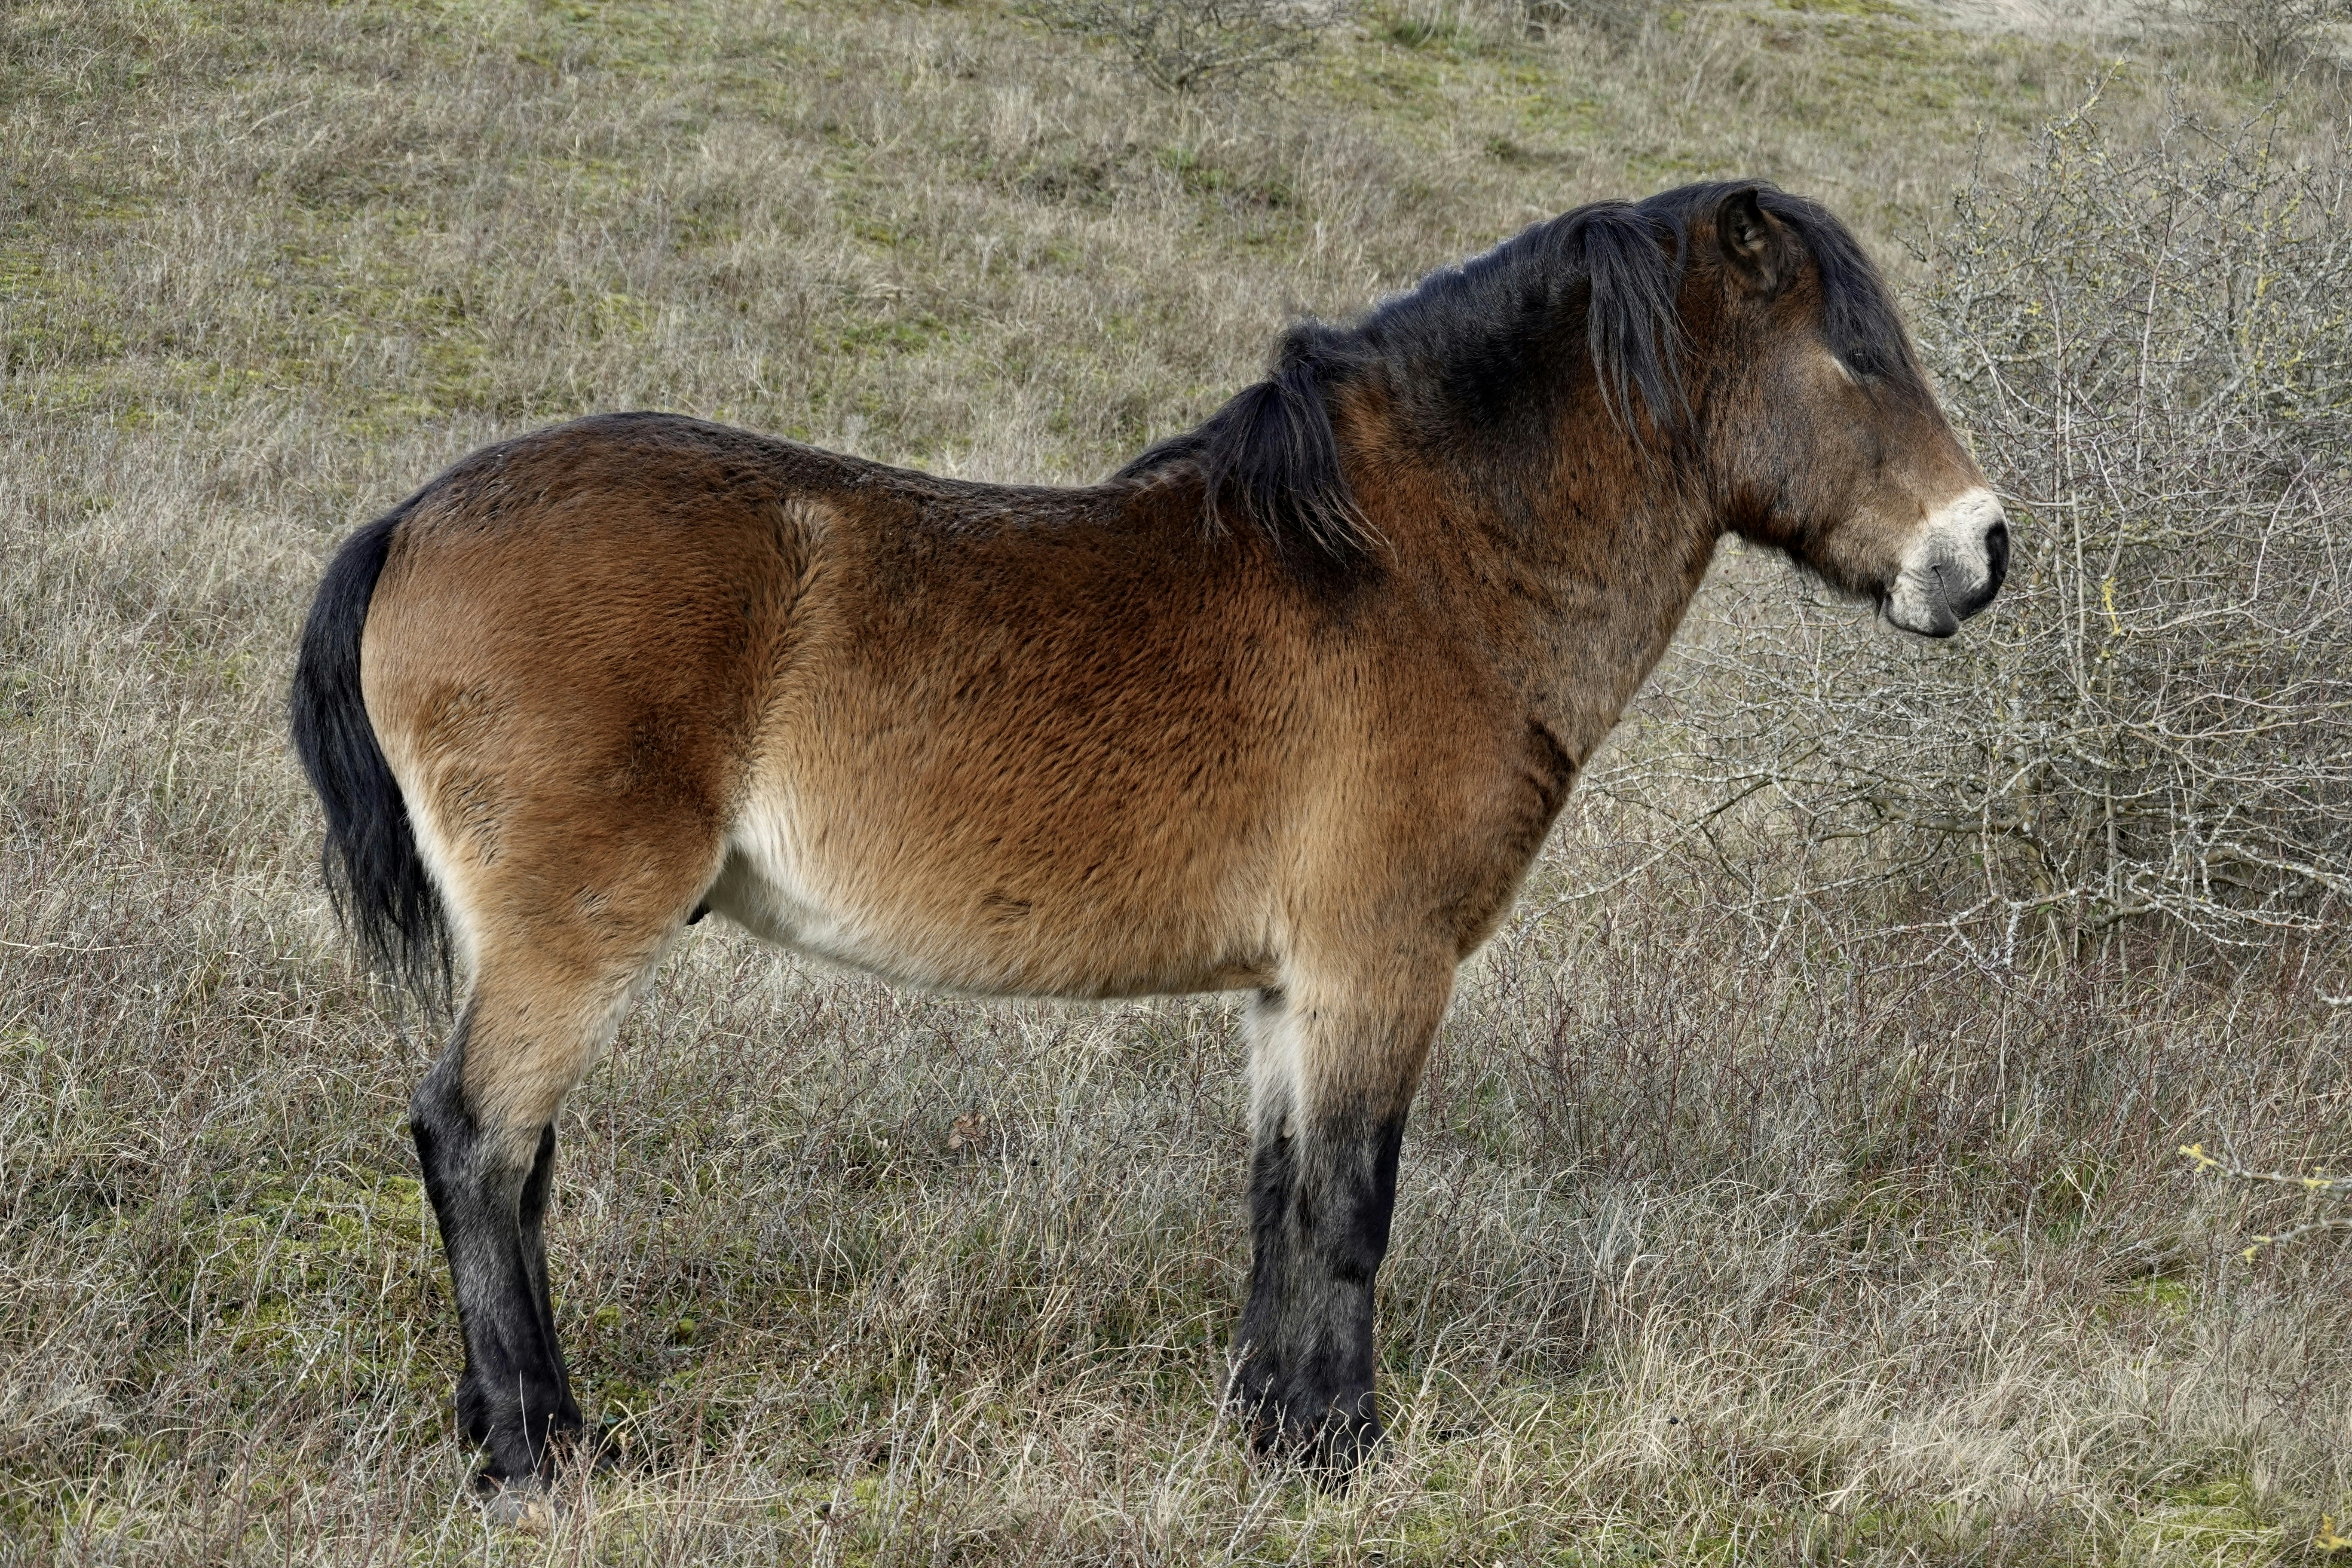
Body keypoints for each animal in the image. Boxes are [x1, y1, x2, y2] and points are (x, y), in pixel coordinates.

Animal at [290, 182, 2006, 1509]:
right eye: (1854, 358)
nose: (1981, 551)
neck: (1413, 576)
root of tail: (418, 517)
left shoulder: (1290, 987)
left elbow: (1277, 1195)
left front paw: (1266, 1425)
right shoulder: (1379, 967)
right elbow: (1351, 1202)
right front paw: (1341, 1450)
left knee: (515, 1169)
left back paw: (530, 1429)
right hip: (573, 934)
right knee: (476, 1142)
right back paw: (536, 1456)